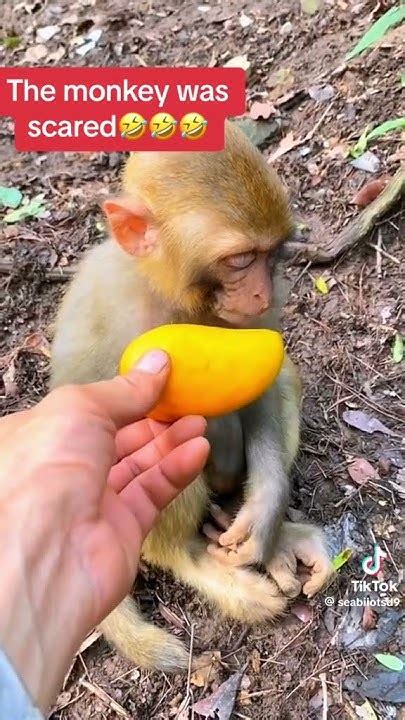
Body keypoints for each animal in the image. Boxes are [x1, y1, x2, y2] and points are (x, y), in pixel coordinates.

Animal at [50, 121, 334, 671]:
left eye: (273, 255)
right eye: (240, 260)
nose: (263, 293)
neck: (177, 300)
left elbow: (265, 376)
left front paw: (264, 513)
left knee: (282, 378)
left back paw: (266, 534)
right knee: (170, 438)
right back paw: (197, 563)